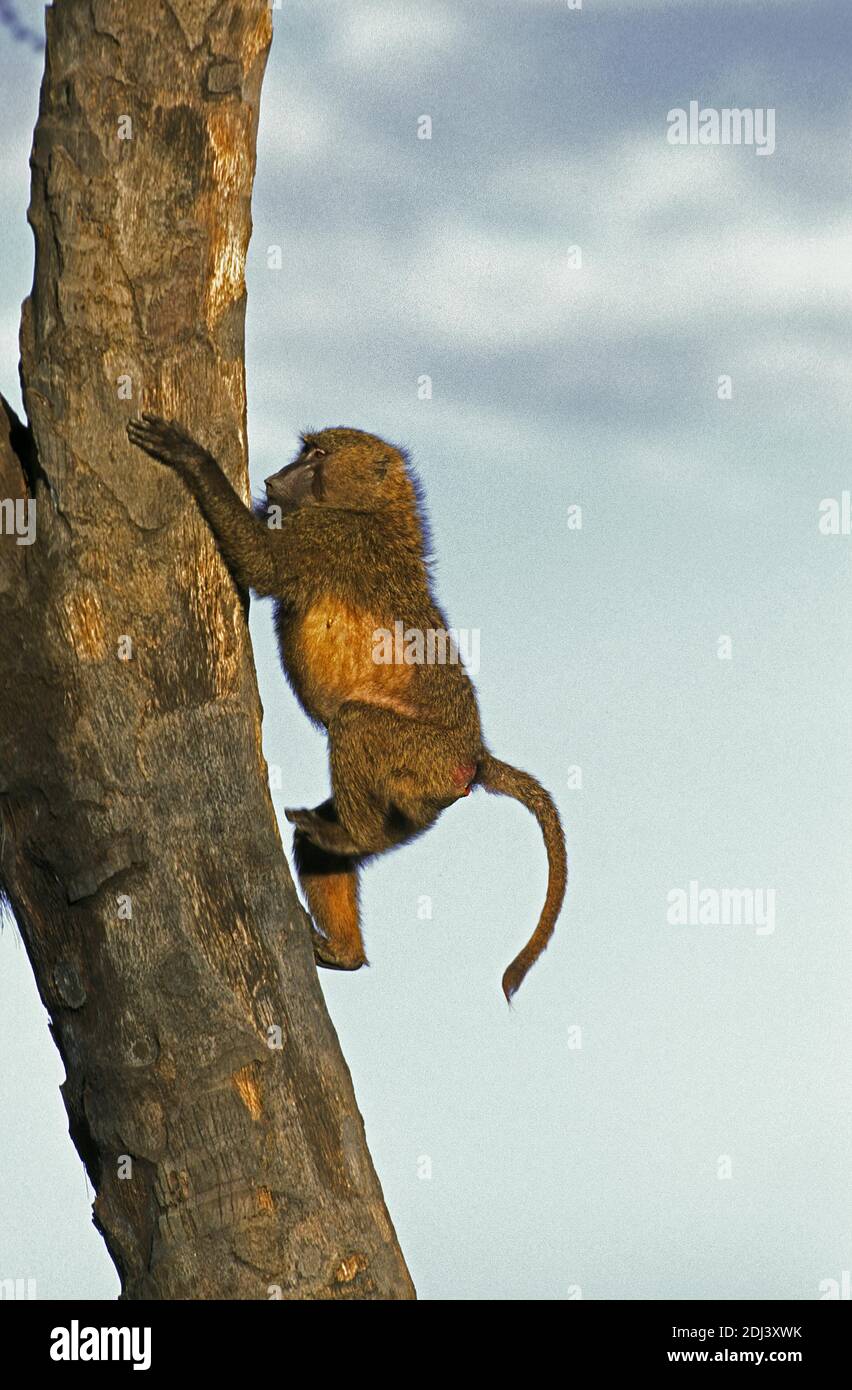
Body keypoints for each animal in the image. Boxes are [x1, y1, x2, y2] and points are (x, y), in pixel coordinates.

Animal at [126, 412, 567, 999]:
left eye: (316, 456)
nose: (276, 477)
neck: (376, 512)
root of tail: (476, 755)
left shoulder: (331, 537)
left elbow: (263, 564)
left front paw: (190, 454)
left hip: (424, 759)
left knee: (354, 723)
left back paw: (350, 836)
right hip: (421, 800)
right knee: (327, 843)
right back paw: (344, 950)